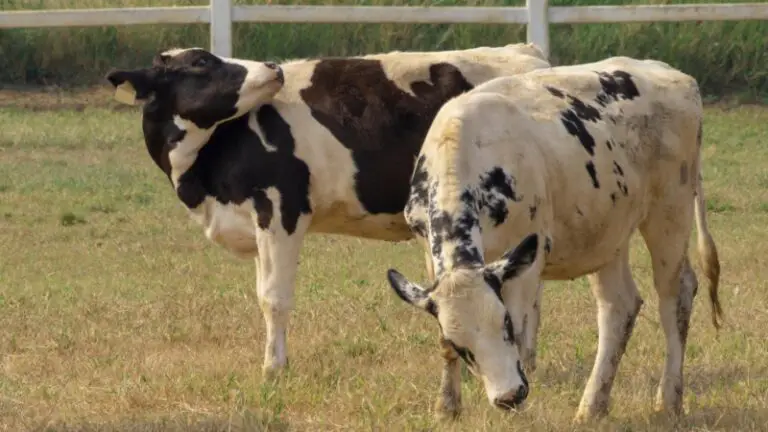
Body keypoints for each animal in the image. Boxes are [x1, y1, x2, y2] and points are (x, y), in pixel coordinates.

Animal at [104, 45, 551, 387]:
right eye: (200, 62)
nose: (272, 67)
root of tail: (525, 53)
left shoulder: (280, 210)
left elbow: (274, 298)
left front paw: (273, 369)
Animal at [385, 56, 723, 420]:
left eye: (504, 323)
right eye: (462, 345)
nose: (508, 396)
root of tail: (672, 73)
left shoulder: (524, 263)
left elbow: (523, 334)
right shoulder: (431, 258)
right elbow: (442, 344)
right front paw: (446, 407)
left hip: (670, 212)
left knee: (675, 296)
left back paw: (668, 399)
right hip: (607, 231)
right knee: (619, 307)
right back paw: (592, 406)